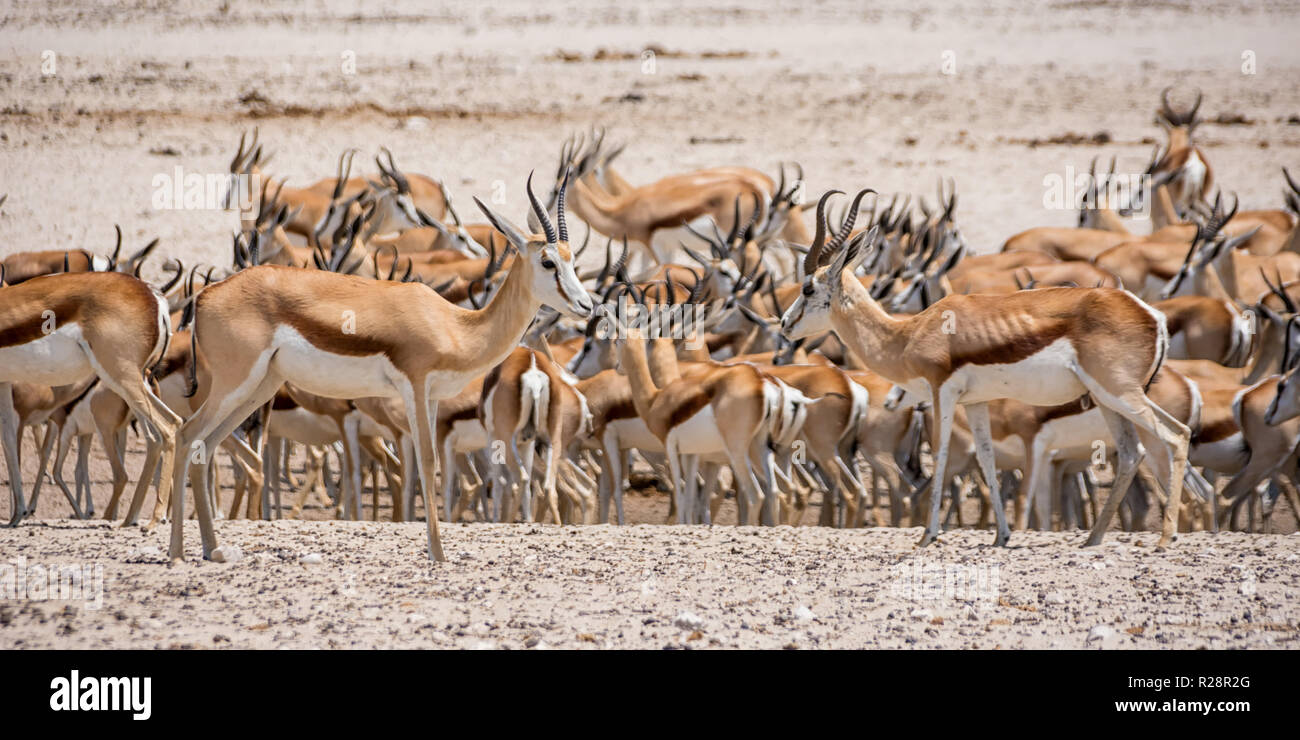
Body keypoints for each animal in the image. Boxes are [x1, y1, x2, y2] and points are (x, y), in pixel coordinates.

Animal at [167, 174, 594, 563]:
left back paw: (212, 549)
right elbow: (426, 461)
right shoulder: (414, 388)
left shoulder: (433, 398)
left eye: (574, 260)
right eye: (547, 261)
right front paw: (438, 554)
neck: (455, 326)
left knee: (205, 444)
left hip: (260, 387)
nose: (587, 306)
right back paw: (177, 552)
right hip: (235, 384)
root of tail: (205, 296)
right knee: (186, 435)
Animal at [781, 189, 1192, 548]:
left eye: (807, 288)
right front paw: (1001, 536)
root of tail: (1150, 313)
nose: (784, 324)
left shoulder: (941, 392)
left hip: (1120, 393)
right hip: (1108, 399)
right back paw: (1092, 539)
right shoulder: (975, 402)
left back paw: (1164, 538)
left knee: (1177, 435)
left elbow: (942, 457)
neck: (909, 333)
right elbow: (987, 460)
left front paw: (928, 535)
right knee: (1133, 453)